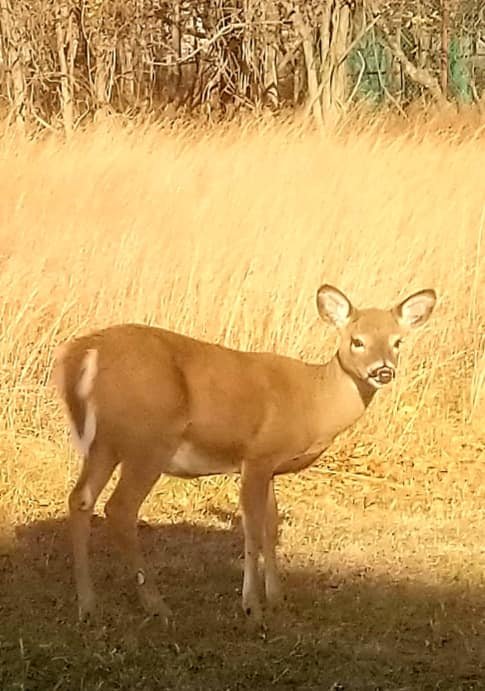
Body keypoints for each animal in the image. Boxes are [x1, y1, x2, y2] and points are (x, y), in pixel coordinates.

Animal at [52, 284, 436, 624]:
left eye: (398, 342)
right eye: (357, 341)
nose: (383, 370)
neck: (313, 401)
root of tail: (87, 351)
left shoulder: (271, 467)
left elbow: (270, 525)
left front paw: (277, 597)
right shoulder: (257, 455)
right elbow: (252, 528)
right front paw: (252, 606)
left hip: (106, 443)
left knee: (80, 499)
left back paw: (88, 606)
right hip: (148, 440)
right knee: (119, 509)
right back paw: (155, 605)